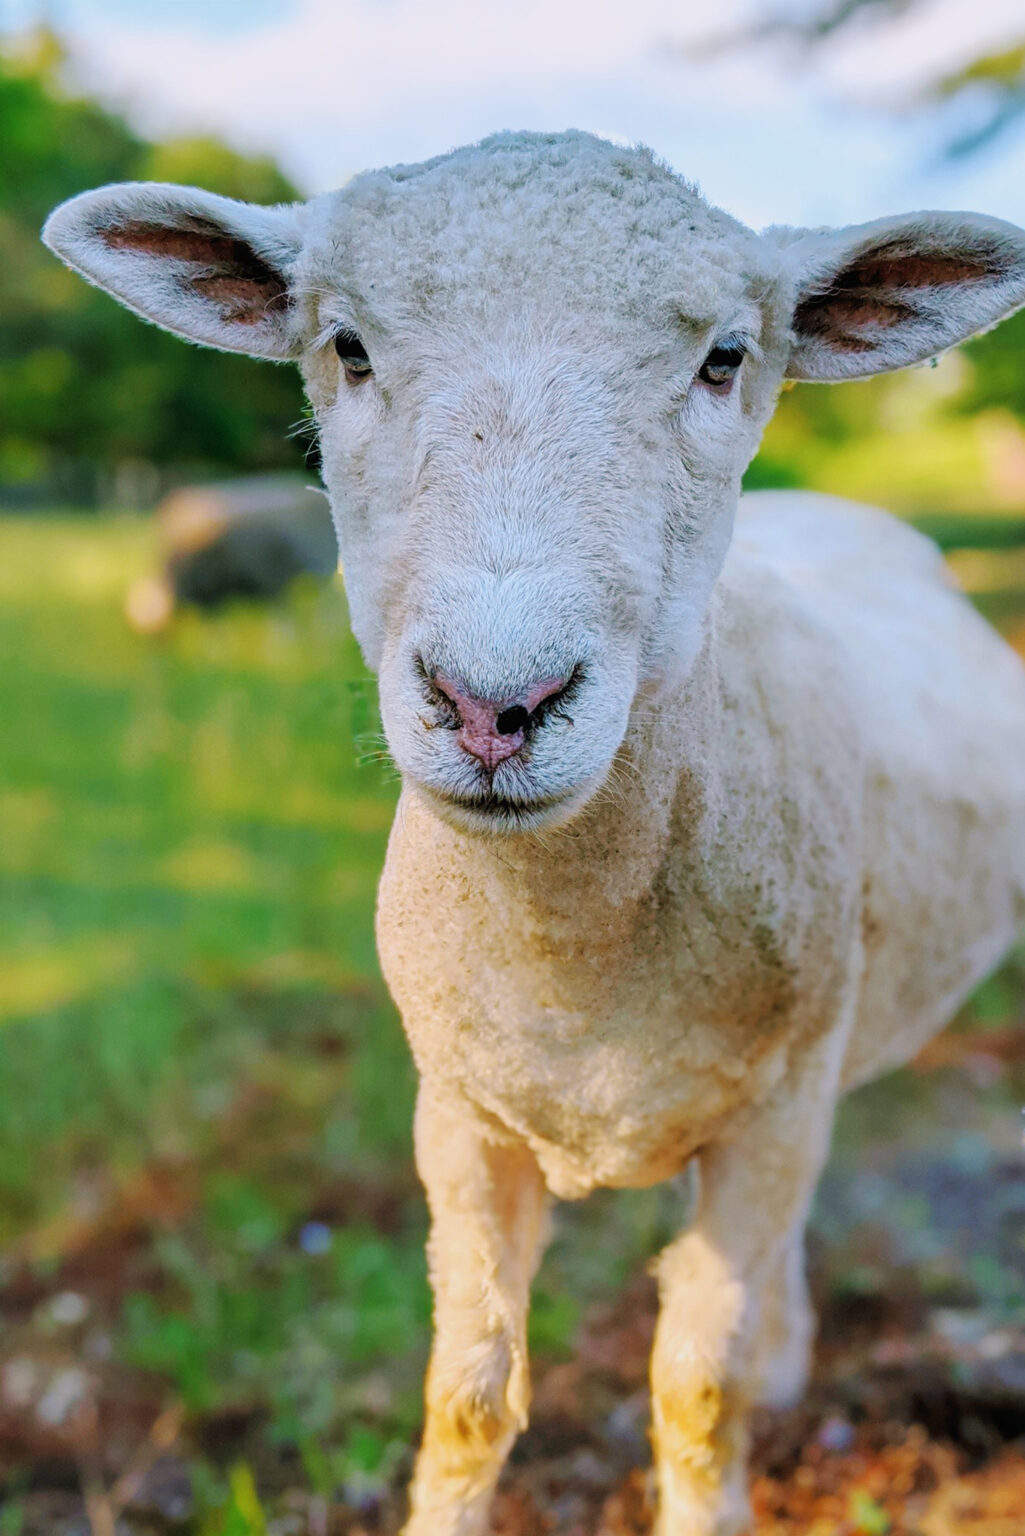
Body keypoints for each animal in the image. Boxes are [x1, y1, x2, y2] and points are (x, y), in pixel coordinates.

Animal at [42, 130, 1025, 1536]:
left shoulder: (773, 1109)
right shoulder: (455, 1114)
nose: (493, 705)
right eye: (346, 346)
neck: (571, 953)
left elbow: (693, 1390)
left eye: (725, 357)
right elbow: (465, 1394)